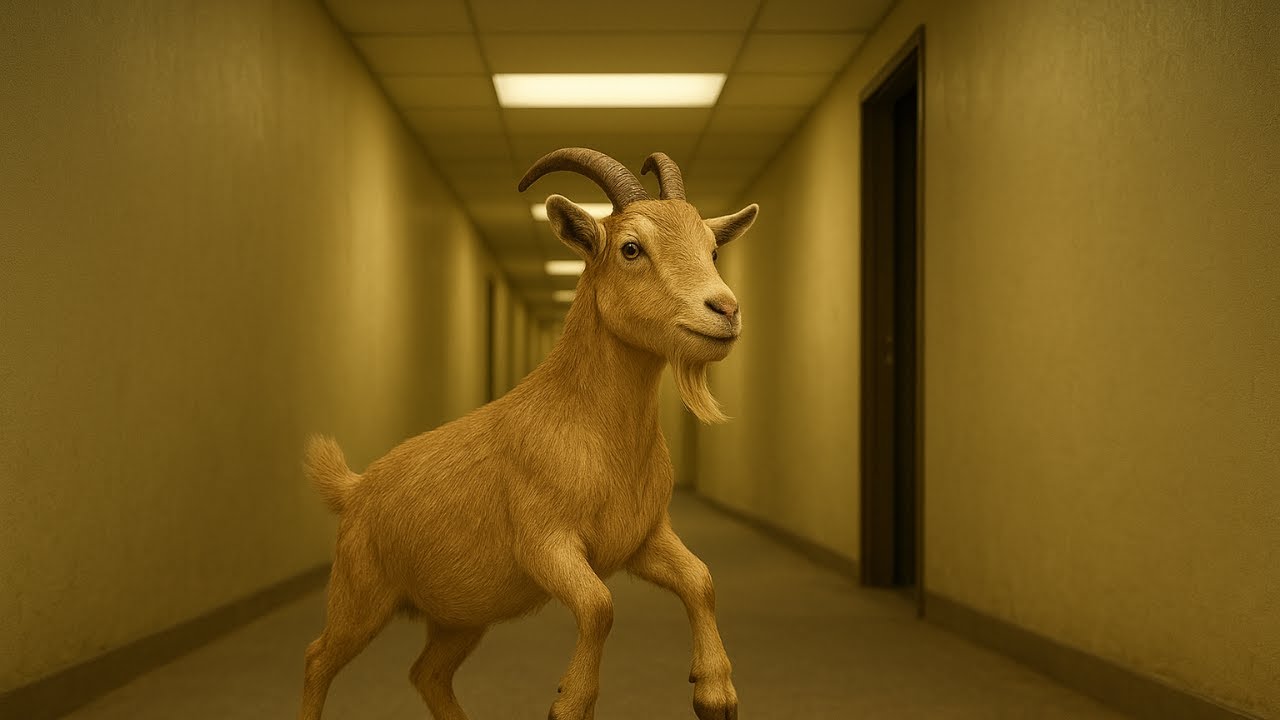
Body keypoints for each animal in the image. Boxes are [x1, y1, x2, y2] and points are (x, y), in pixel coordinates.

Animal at [298, 147, 758, 720]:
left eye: (713, 249)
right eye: (631, 248)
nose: (726, 310)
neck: (595, 431)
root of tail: (354, 488)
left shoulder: (644, 538)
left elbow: (700, 579)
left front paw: (714, 693)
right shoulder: (545, 541)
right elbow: (600, 605)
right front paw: (568, 702)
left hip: (460, 615)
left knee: (428, 672)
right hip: (360, 591)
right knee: (319, 658)